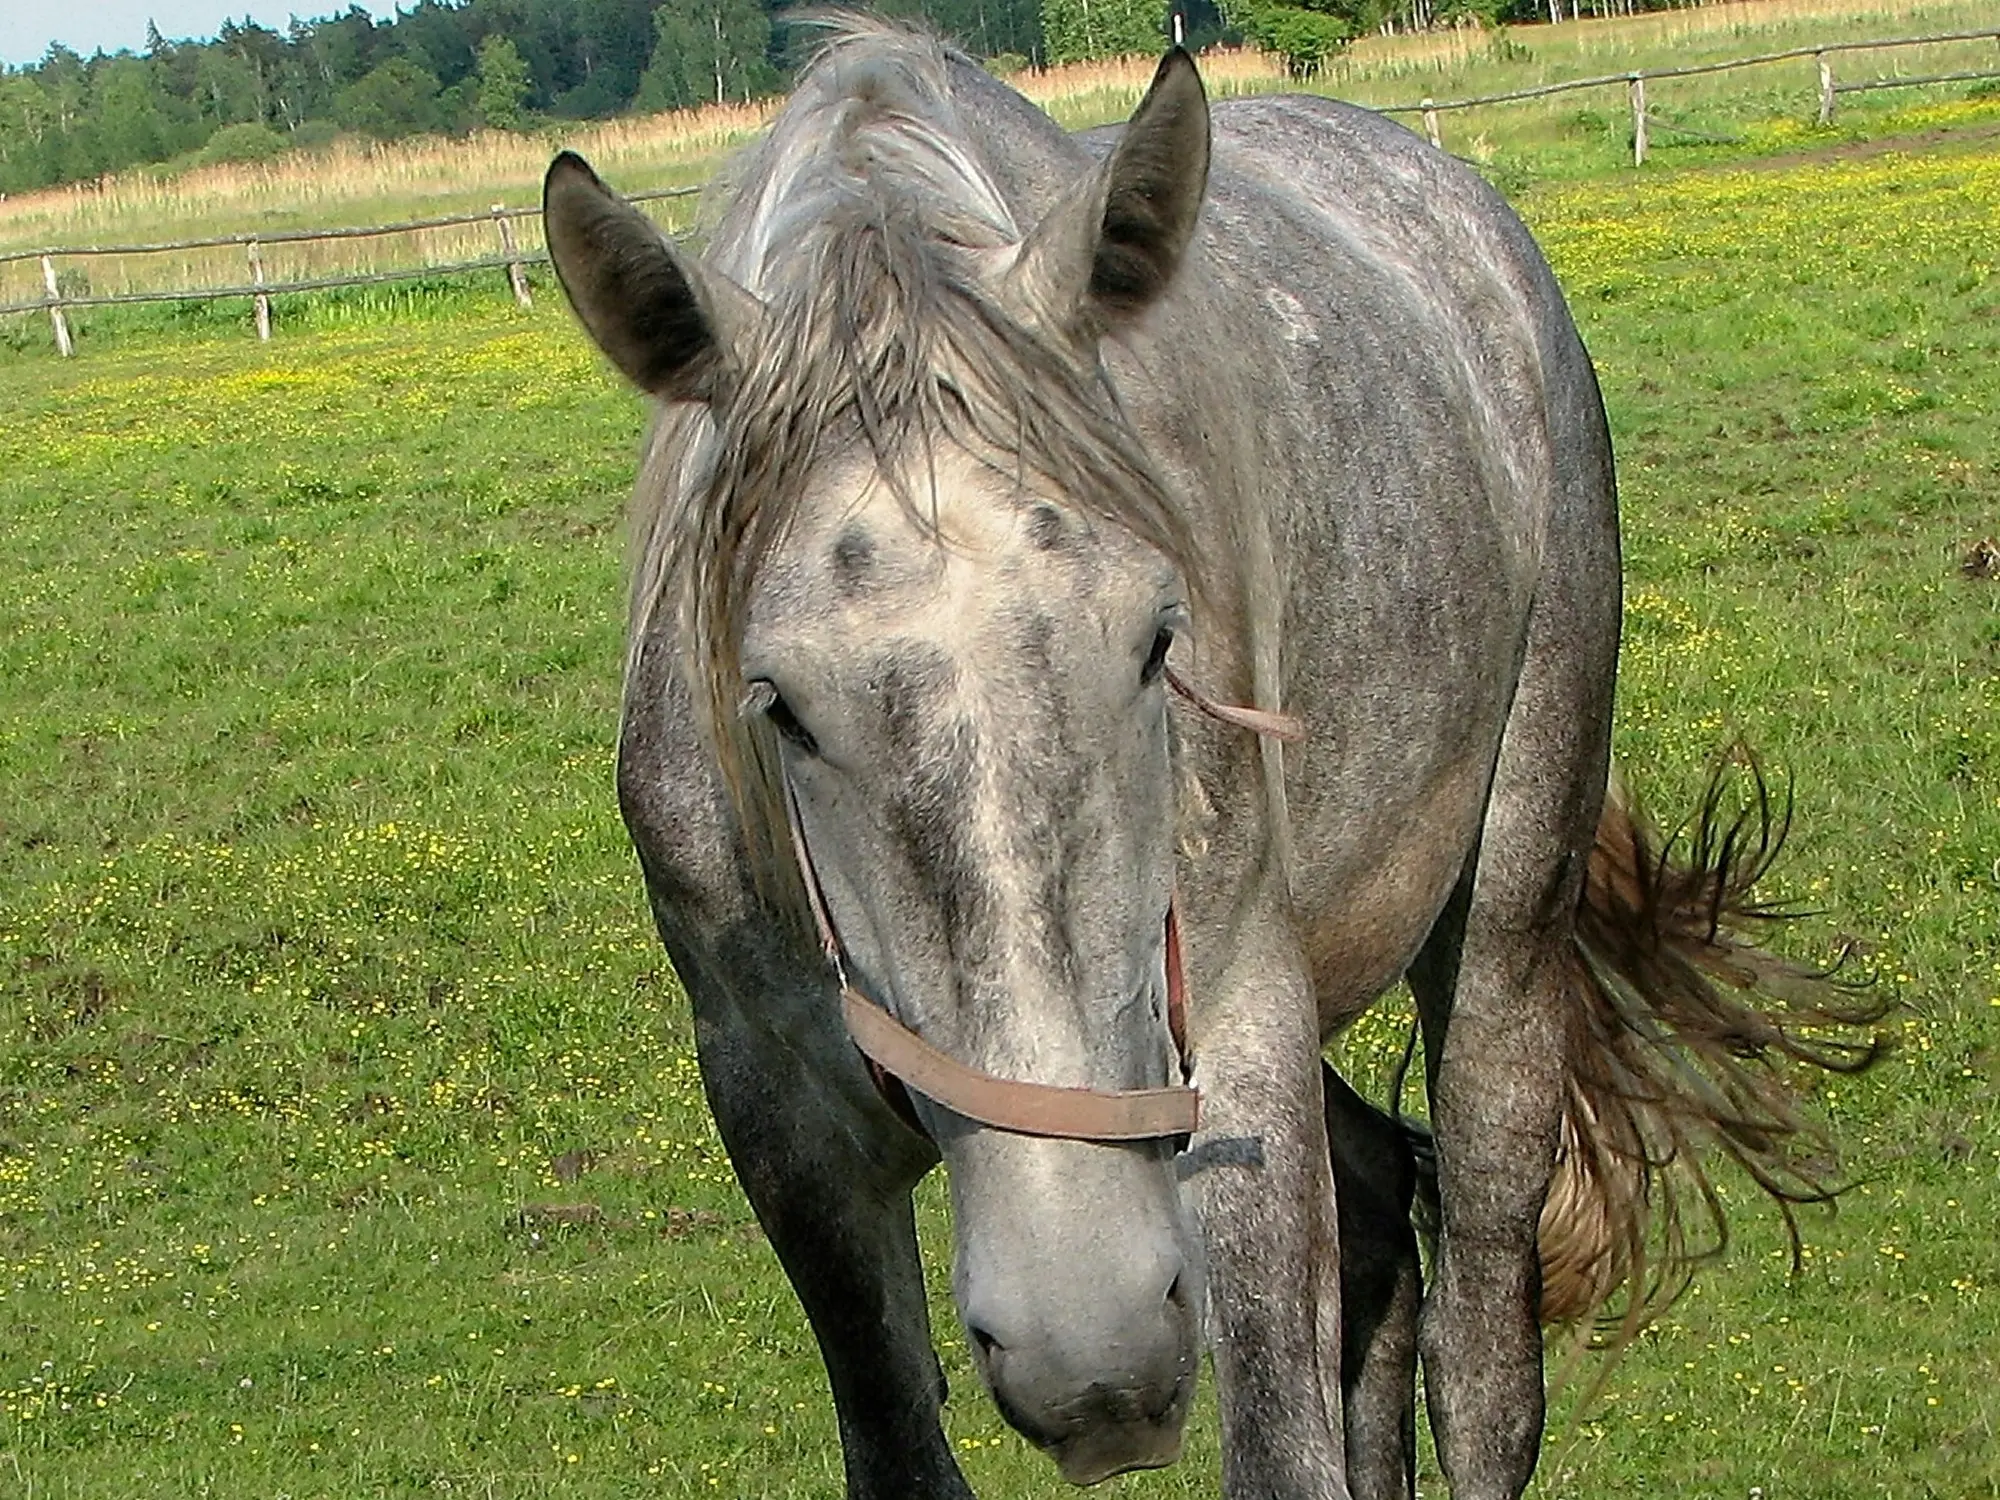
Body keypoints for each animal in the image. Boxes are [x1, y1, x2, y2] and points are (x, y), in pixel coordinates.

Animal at [542, 25, 1882, 1499]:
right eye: (776, 704)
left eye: (1155, 639)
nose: (1092, 1346)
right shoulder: (783, 1130)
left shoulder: (1236, 1054)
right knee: (1380, 1214)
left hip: (1504, 928)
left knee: (1481, 1352)